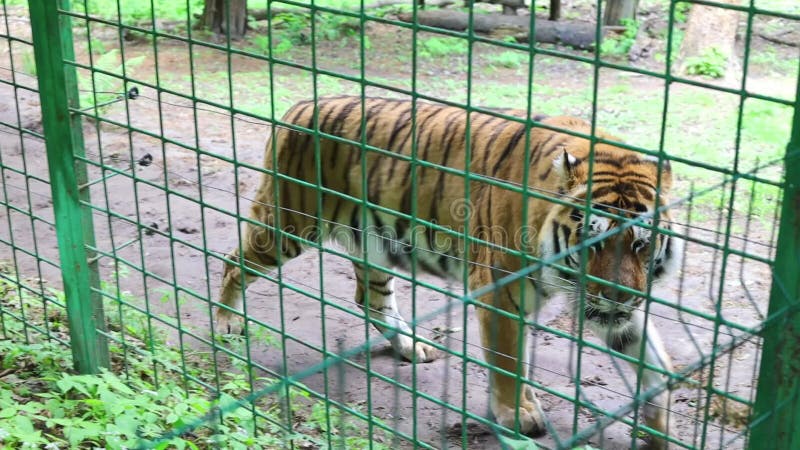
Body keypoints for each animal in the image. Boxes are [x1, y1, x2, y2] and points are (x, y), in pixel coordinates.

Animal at [217, 96, 681, 449]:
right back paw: (226, 323)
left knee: (371, 299)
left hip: (375, 244)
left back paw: (412, 346)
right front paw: (518, 413)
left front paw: (661, 428)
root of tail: (299, 105)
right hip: (287, 225)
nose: (616, 295)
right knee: (233, 261)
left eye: (640, 244)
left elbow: (653, 363)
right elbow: (507, 360)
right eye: (592, 243)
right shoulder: (499, 289)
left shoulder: (619, 309)